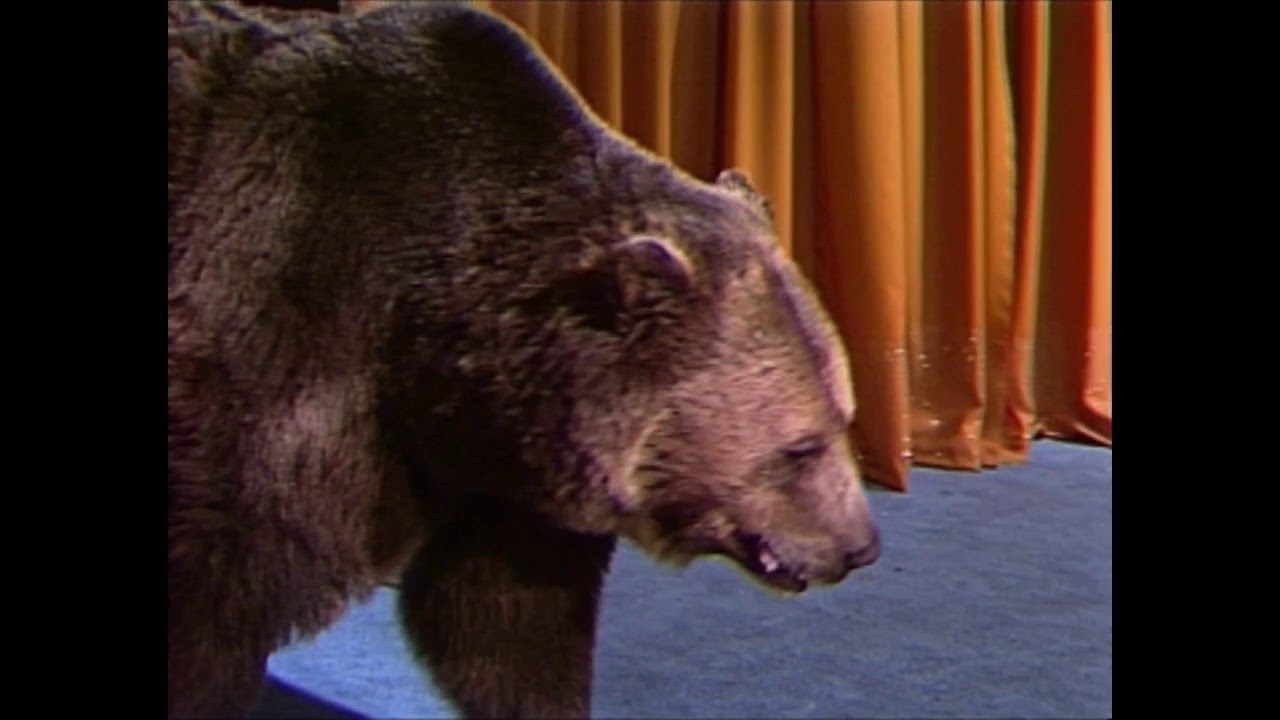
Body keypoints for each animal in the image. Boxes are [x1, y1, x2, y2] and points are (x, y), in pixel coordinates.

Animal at [167, 2, 881, 718]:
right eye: (798, 447)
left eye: (843, 416)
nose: (859, 548)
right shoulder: (282, 343)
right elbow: (212, 608)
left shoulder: (509, 481)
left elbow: (509, 627)